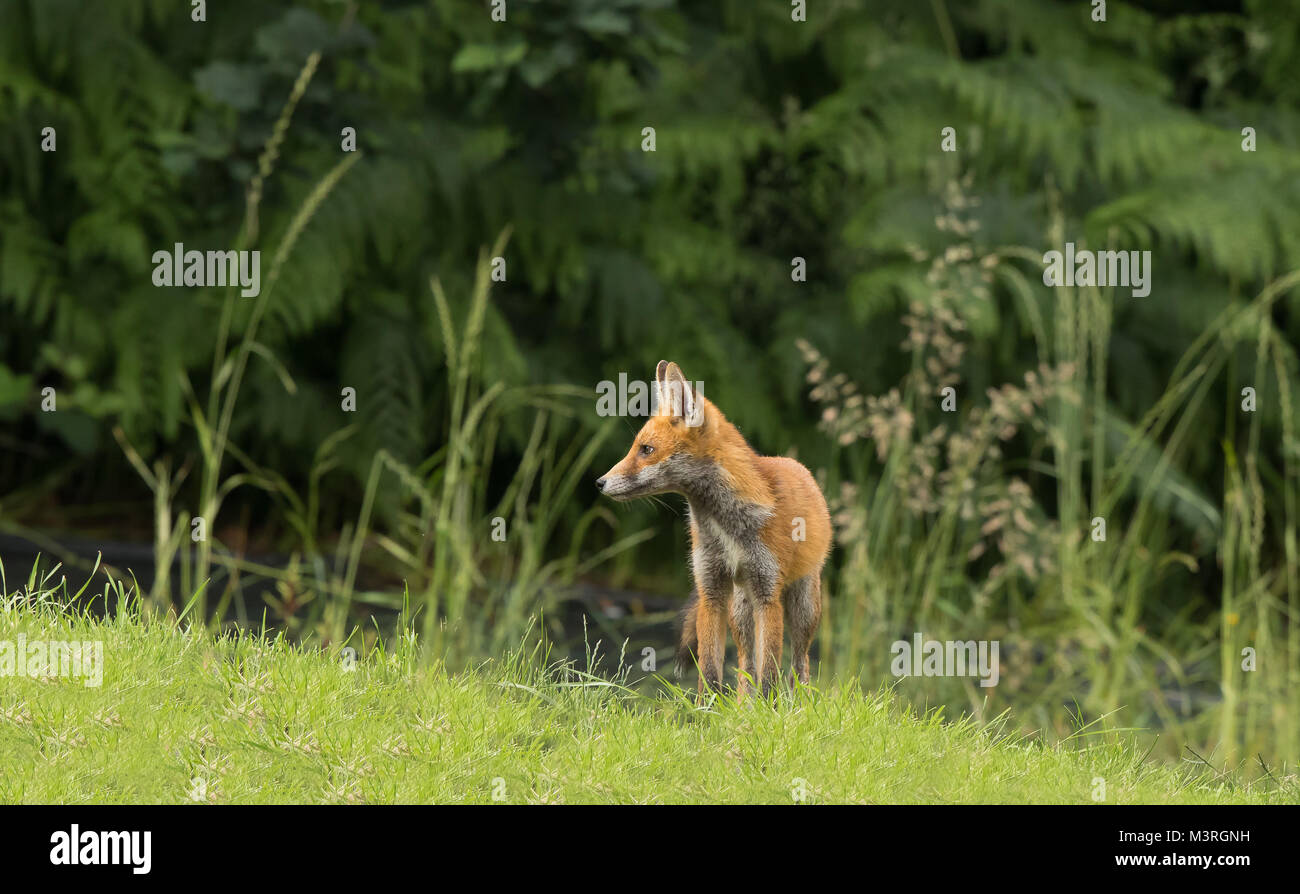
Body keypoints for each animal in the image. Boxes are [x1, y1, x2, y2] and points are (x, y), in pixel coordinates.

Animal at [596, 360, 832, 697]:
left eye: (646, 449)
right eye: (636, 448)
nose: (599, 482)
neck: (725, 528)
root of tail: (801, 469)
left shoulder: (768, 594)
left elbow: (770, 675)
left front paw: (768, 708)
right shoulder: (712, 590)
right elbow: (709, 670)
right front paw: (707, 708)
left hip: (803, 609)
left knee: (799, 667)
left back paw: (797, 703)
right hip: (739, 609)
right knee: (746, 666)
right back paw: (744, 707)